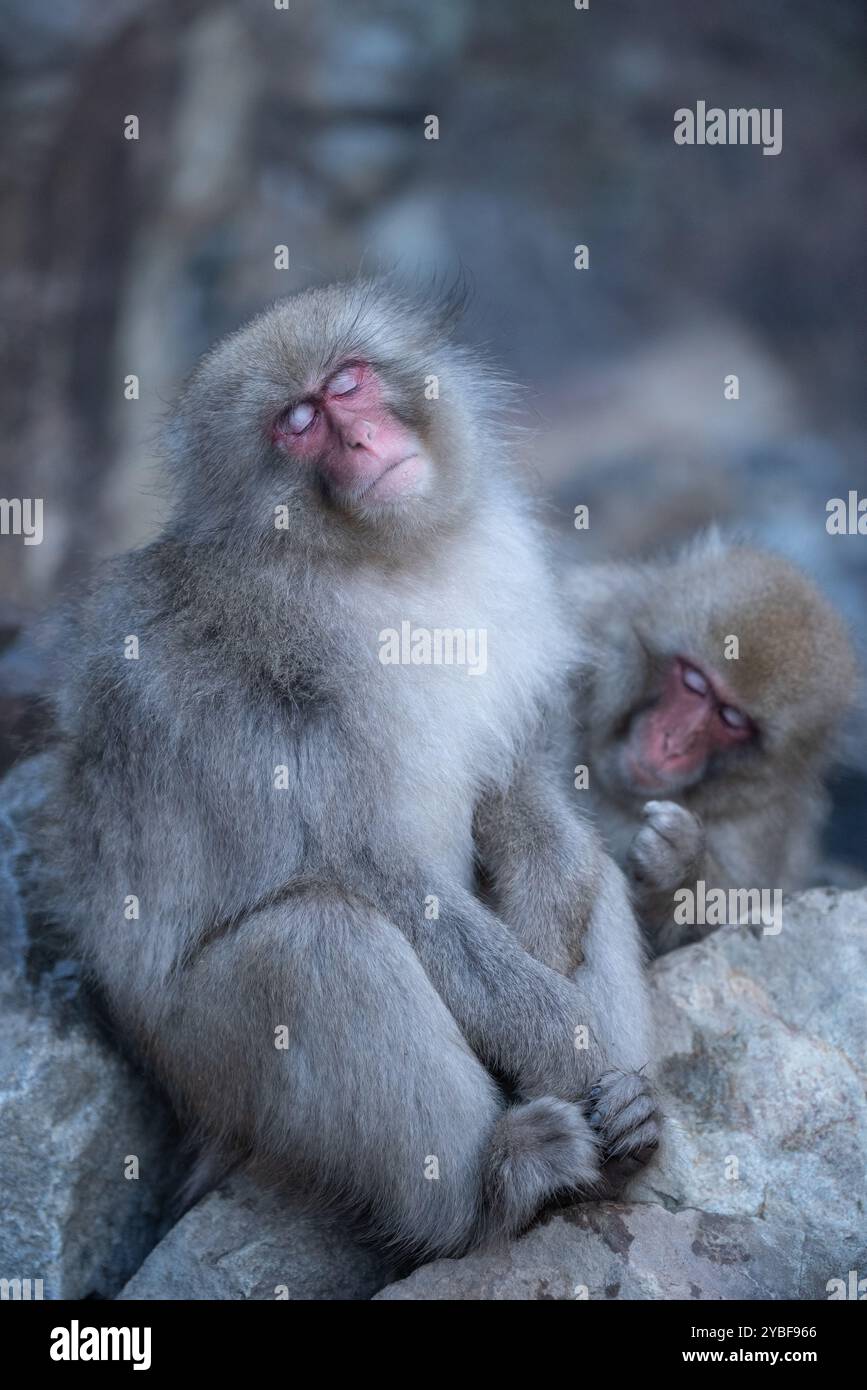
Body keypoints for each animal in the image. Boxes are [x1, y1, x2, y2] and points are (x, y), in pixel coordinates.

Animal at [30, 280, 659, 1262]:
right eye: (297, 423)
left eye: (348, 383)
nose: (361, 439)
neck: (387, 561)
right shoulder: (278, 676)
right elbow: (379, 876)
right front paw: (570, 1047)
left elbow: (513, 786)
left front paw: (553, 904)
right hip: (208, 1064)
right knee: (320, 943)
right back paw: (495, 1187)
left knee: (585, 869)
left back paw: (624, 1131)